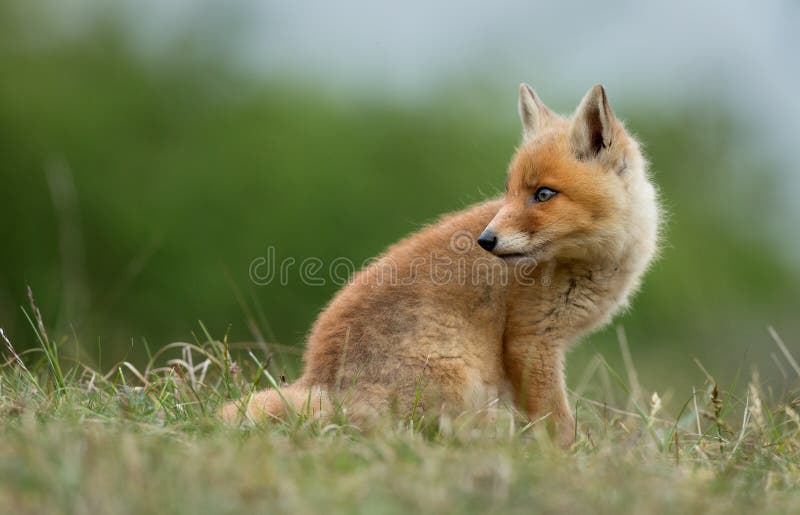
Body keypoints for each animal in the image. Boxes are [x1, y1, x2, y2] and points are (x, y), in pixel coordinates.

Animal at [222, 84, 661, 445]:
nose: (486, 240)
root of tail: (324, 383)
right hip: (460, 380)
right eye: (510, 191)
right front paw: (563, 462)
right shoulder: (531, 341)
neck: (592, 260)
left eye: (543, 194)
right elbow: (559, 424)